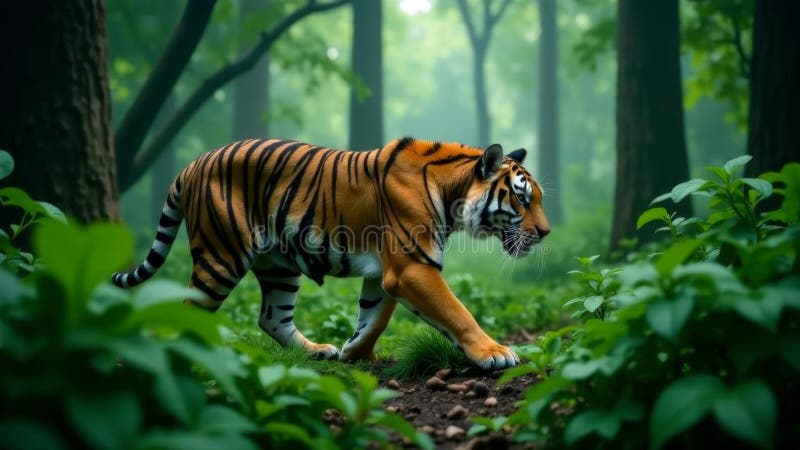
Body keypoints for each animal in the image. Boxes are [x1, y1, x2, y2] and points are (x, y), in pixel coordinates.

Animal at [112, 137, 550, 370]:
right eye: (522, 199)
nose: (546, 233)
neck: (453, 193)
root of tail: (192, 164)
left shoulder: (384, 273)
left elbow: (374, 318)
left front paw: (355, 353)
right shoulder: (412, 266)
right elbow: (457, 312)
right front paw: (495, 353)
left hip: (278, 266)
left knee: (271, 318)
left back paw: (318, 351)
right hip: (220, 257)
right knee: (187, 310)